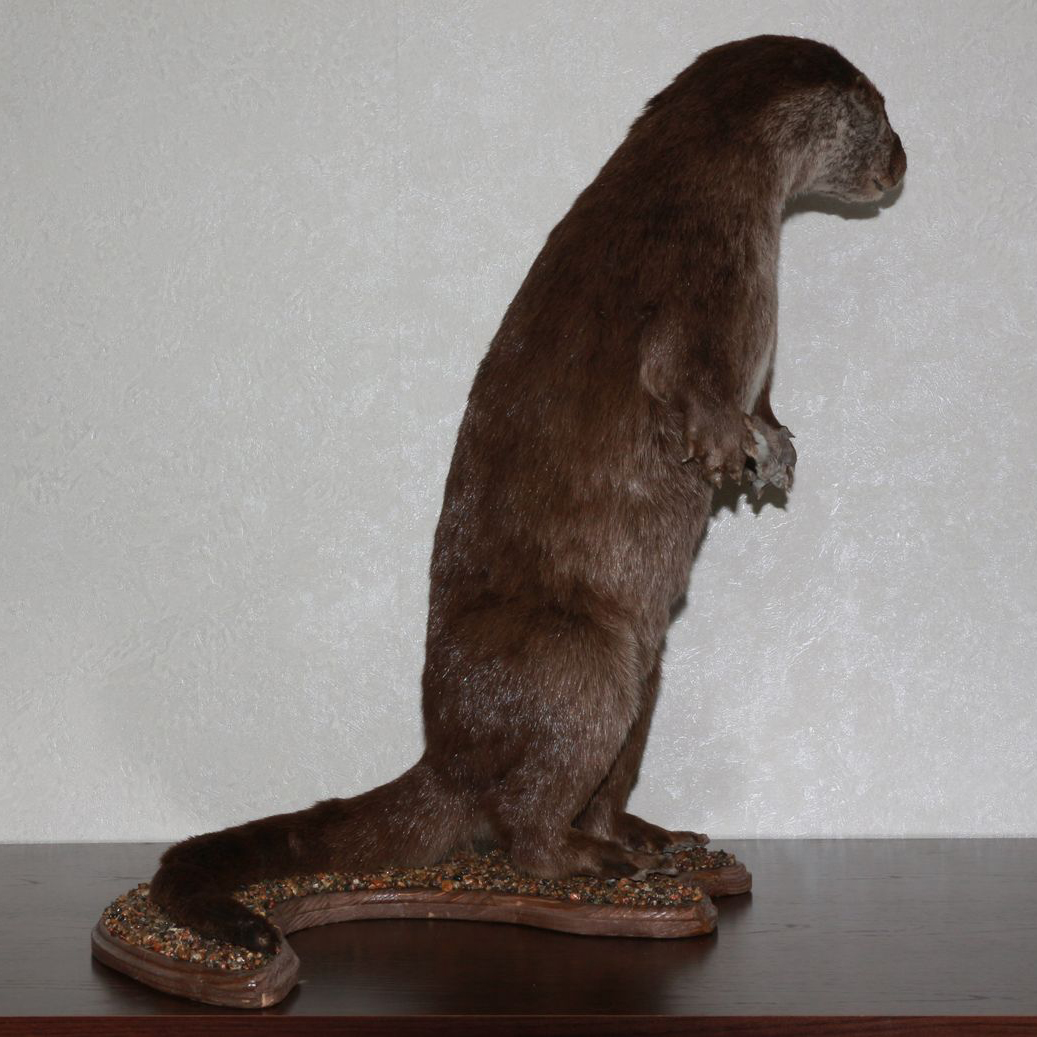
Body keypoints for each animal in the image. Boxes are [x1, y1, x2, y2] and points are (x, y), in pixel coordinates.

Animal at [149, 34, 906, 951]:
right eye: (878, 113)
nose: (902, 162)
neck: (714, 191)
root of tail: (450, 753)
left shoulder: (751, 348)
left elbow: (762, 399)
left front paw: (778, 450)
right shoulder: (678, 280)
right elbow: (681, 378)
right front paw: (728, 451)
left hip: (643, 680)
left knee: (596, 788)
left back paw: (654, 839)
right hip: (583, 666)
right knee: (520, 821)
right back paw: (596, 861)